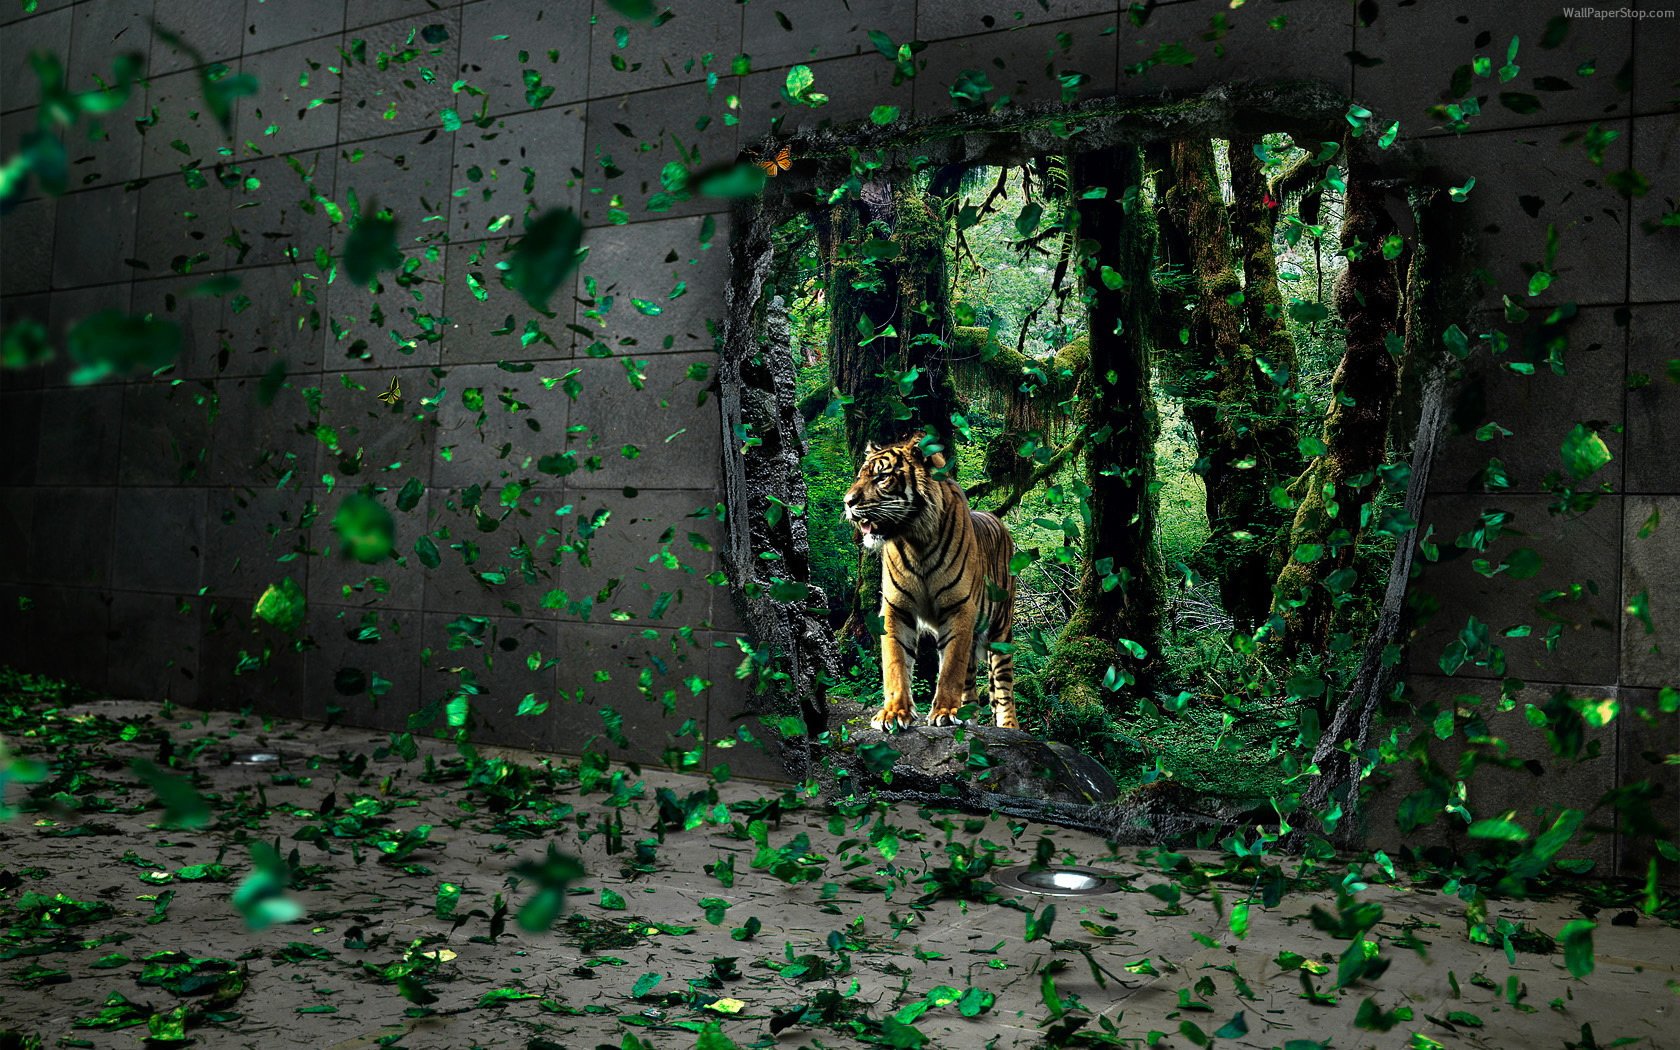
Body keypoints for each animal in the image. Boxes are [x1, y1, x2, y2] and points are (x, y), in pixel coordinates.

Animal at [841, 432, 1018, 732]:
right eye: (860, 476)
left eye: (881, 477)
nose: (847, 502)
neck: (916, 540)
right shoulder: (896, 608)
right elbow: (896, 662)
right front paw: (893, 713)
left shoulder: (959, 608)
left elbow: (950, 668)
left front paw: (945, 711)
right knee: (971, 684)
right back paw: (968, 717)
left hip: (1001, 630)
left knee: (1003, 688)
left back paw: (1008, 727)